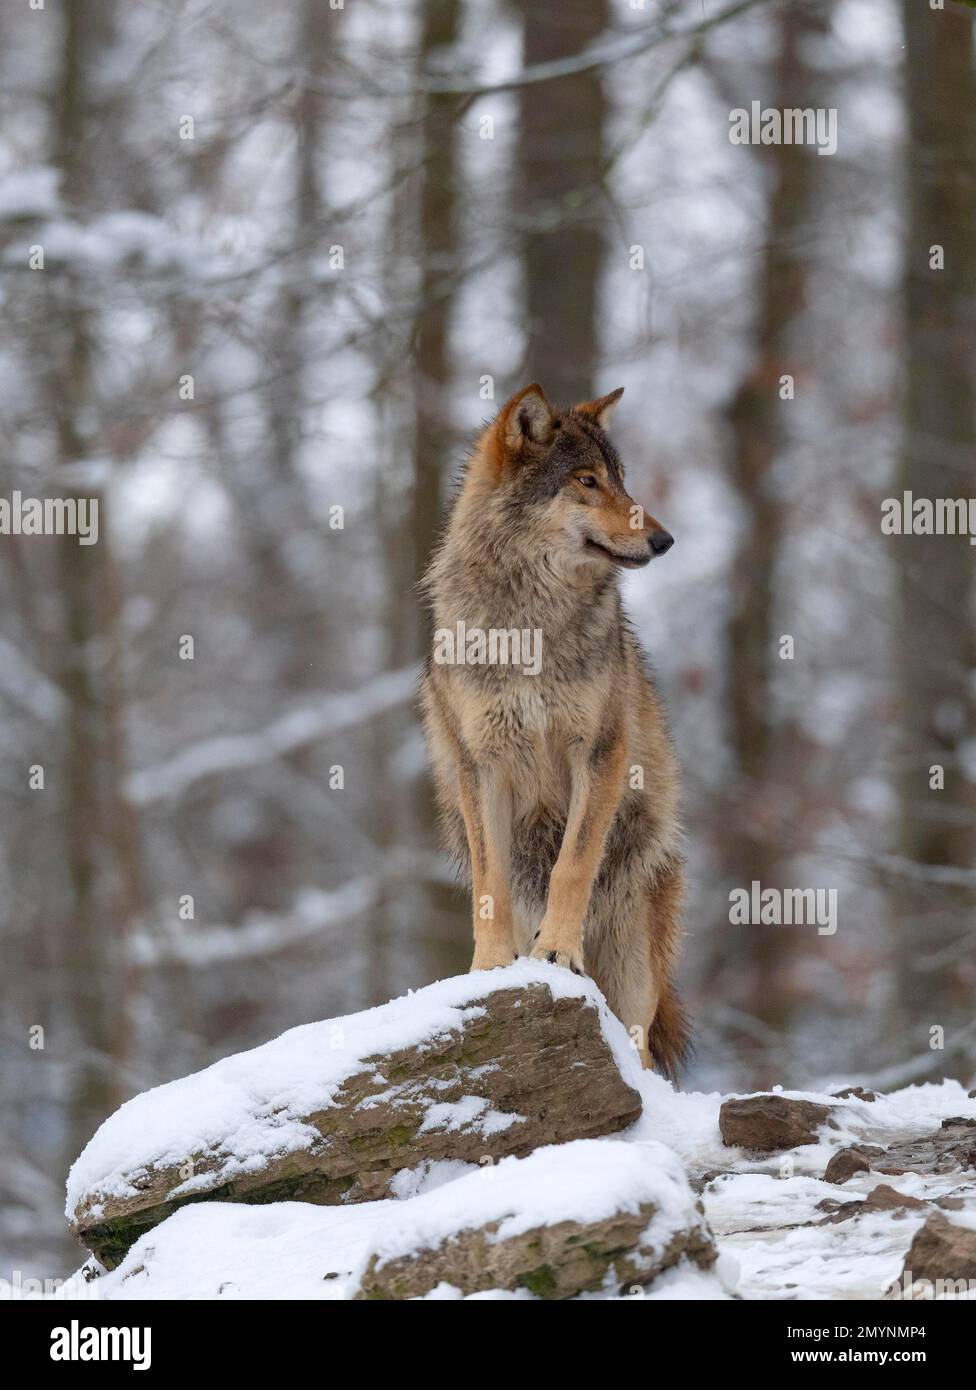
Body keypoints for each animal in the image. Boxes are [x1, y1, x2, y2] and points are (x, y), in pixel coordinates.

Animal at [420, 382, 689, 1076]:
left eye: (621, 480)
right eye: (586, 481)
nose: (665, 540)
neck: (529, 625)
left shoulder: (598, 751)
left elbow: (573, 863)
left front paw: (558, 952)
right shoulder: (480, 762)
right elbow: (488, 882)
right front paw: (491, 967)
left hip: (634, 964)